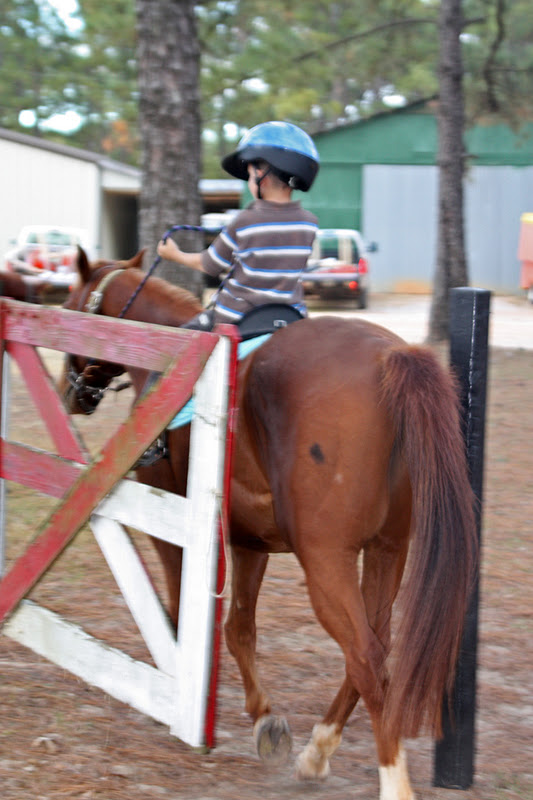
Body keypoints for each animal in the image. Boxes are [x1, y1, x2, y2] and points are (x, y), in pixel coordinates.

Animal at [58, 246, 477, 800]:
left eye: (72, 304)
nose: (72, 392)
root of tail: (389, 357)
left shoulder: (174, 528)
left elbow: (182, 612)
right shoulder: (250, 543)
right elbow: (239, 629)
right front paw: (265, 719)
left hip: (326, 561)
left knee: (366, 655)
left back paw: (392, 780)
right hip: (388, 550)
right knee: (374, 649)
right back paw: (318, 751)